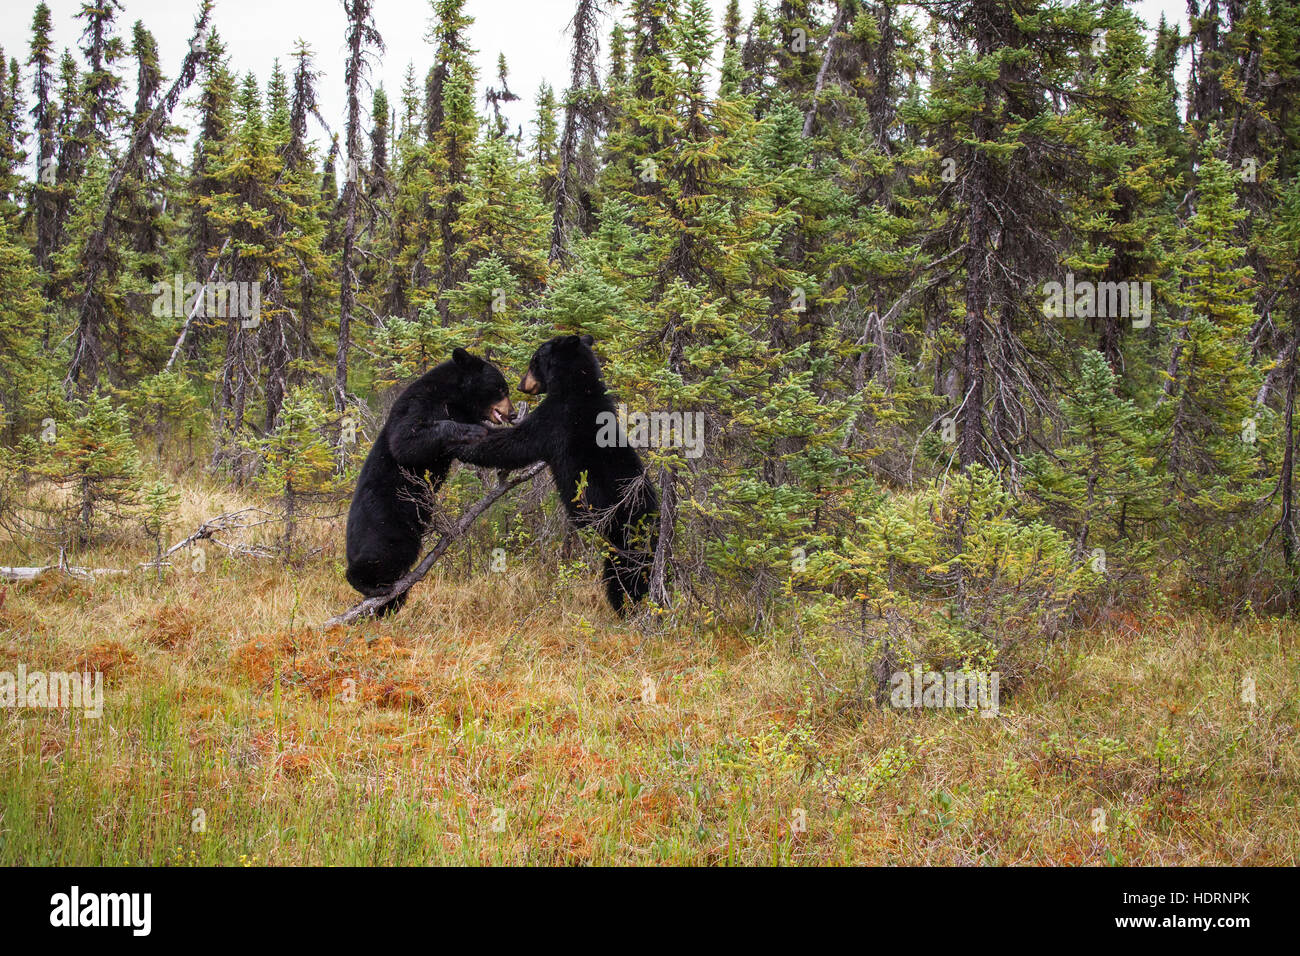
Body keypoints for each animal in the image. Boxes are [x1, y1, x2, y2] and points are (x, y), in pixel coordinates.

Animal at [345, 347, 513, 615]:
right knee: (383, 554)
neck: (454, 397)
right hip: (386, 526)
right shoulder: (417, 406)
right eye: (500, 388)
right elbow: (406, 441)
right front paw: (470, 430)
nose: (513, 412)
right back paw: (369, 585)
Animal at [455, 334, 659, 614]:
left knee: (623, 577)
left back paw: (627, 609)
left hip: (624, 536)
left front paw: (462, 444)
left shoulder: (555, 418)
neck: (576, 386)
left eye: (534, 360)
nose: (520, 385)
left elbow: (516, 442)